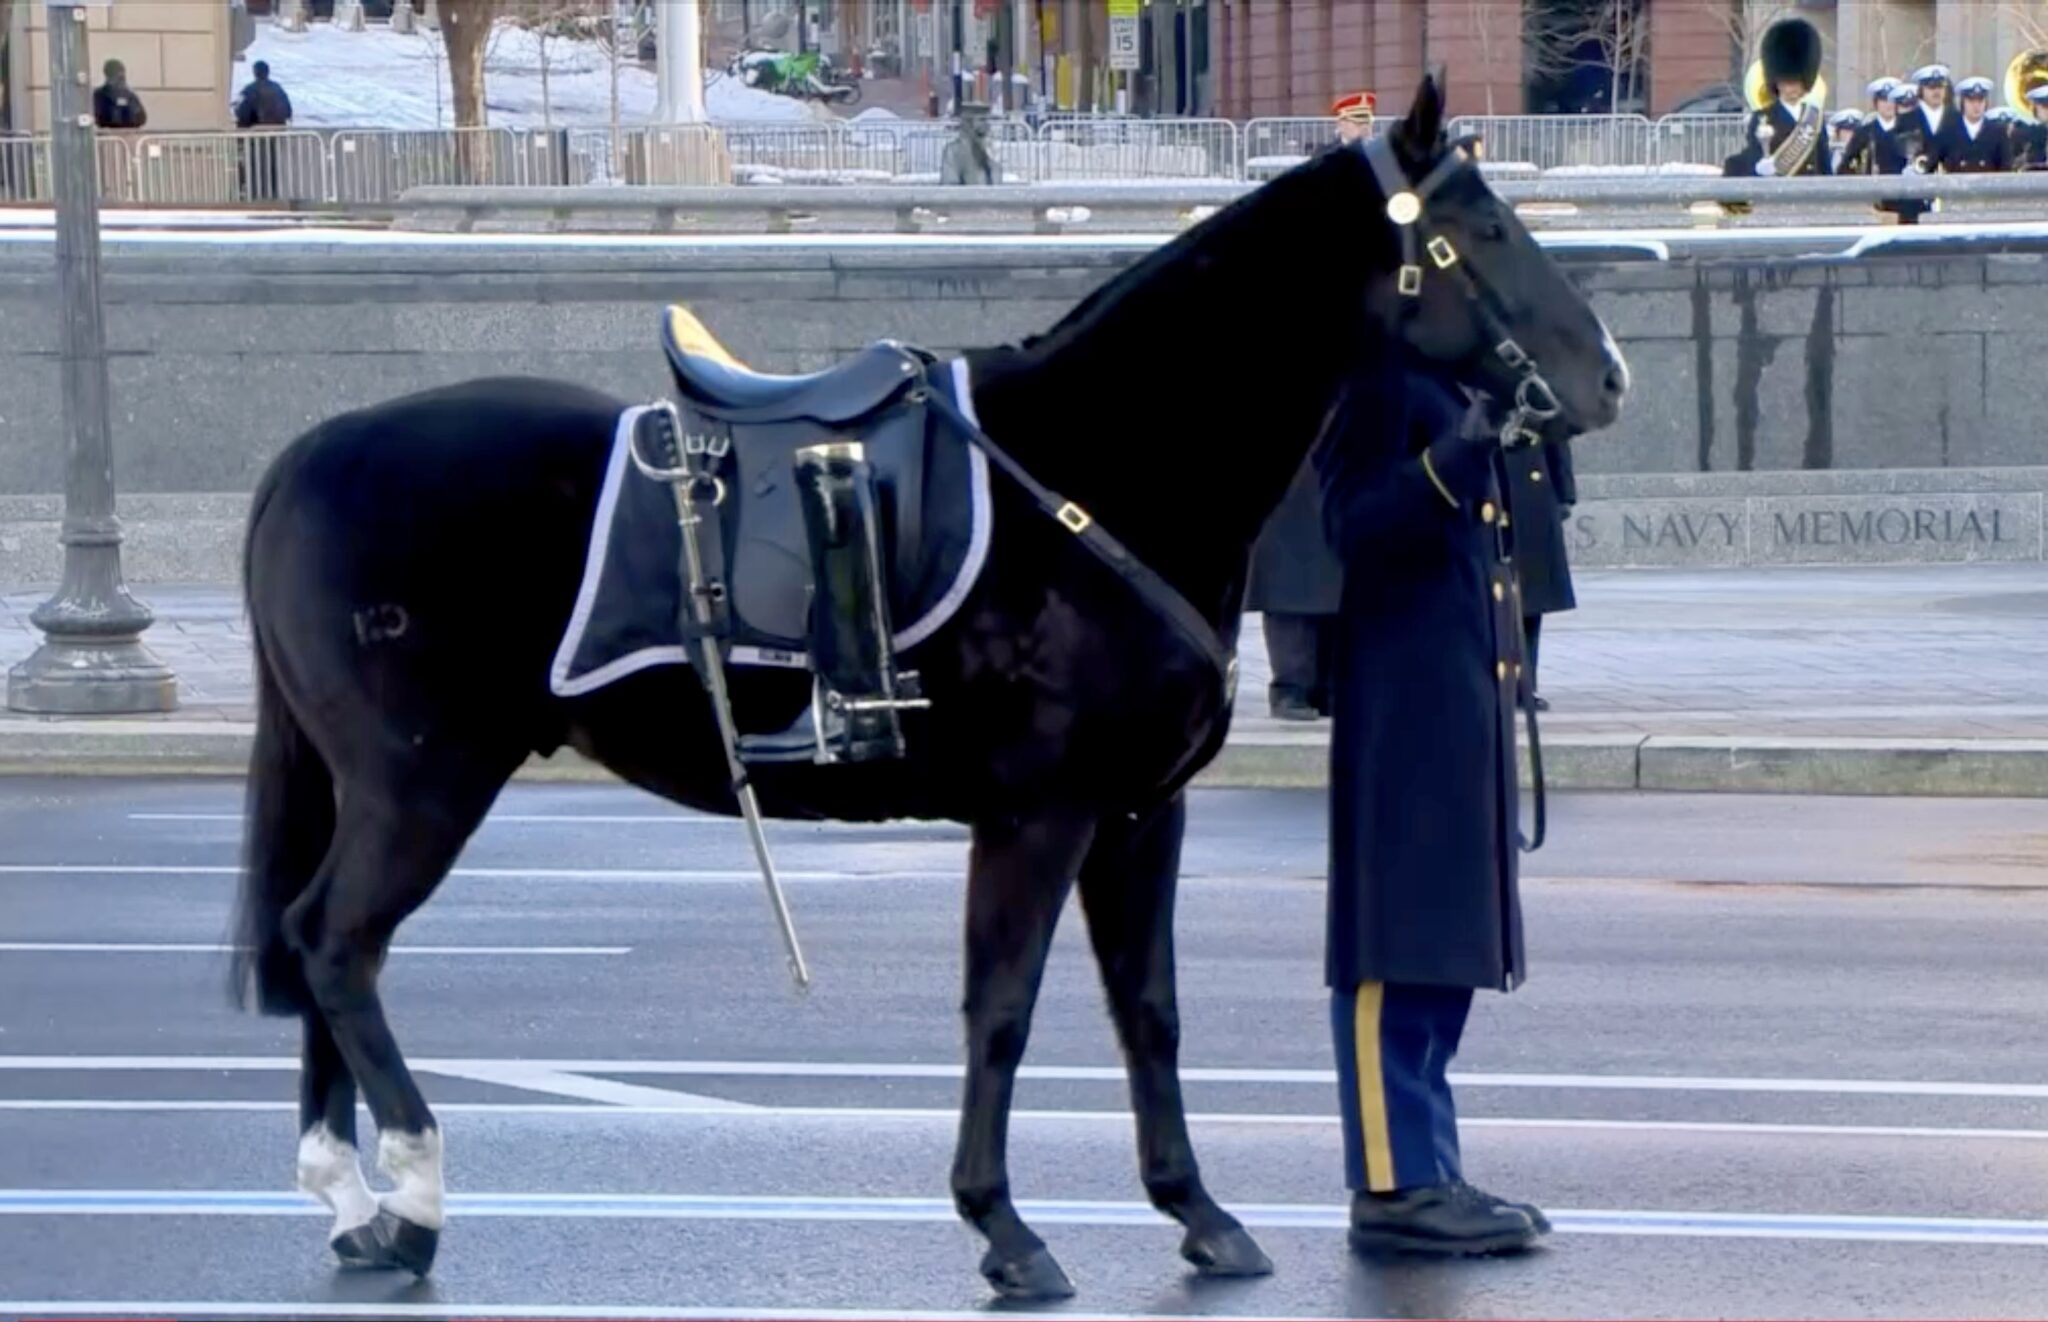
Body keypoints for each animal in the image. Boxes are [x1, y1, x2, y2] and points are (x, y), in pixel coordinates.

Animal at [226, 69, 1628, 1300]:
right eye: (1481, 225)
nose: (1606, 373)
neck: (1100, 466)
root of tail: (308, 448)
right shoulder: (1036, 815)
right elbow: (1000, 1009)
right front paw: (1003, 1226)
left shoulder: (1140, 814)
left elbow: (1149, 1011)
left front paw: (1196, 1208)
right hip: (422, 780)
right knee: (335, 941)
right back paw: (411, 1191)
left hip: (377, 786)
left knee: (319, 946)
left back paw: (353, 1200)